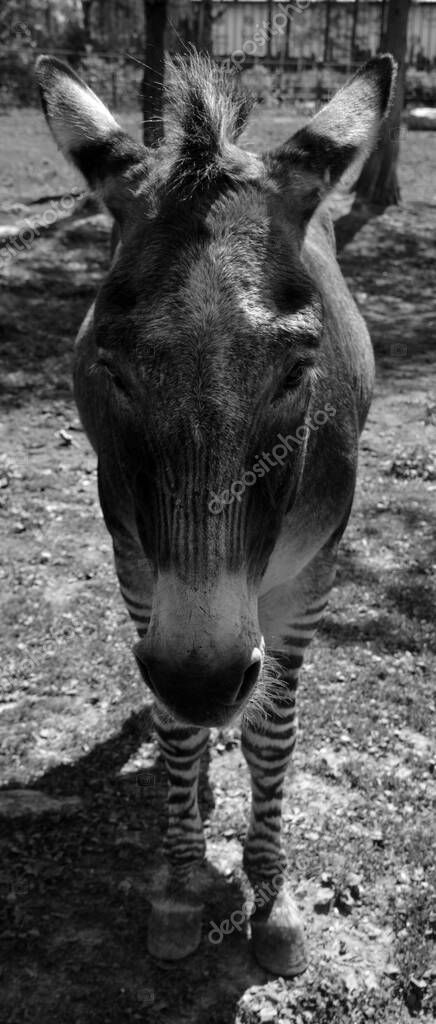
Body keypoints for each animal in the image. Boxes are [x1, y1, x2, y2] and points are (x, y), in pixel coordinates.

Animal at [37, 51, 395, 976]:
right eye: (111, 367)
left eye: (299, 369)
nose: (205, 677)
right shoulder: (138, 561)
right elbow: (171, 726)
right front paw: (178, 882)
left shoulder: (310, 576)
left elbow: (273, 735)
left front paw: (271, 898)